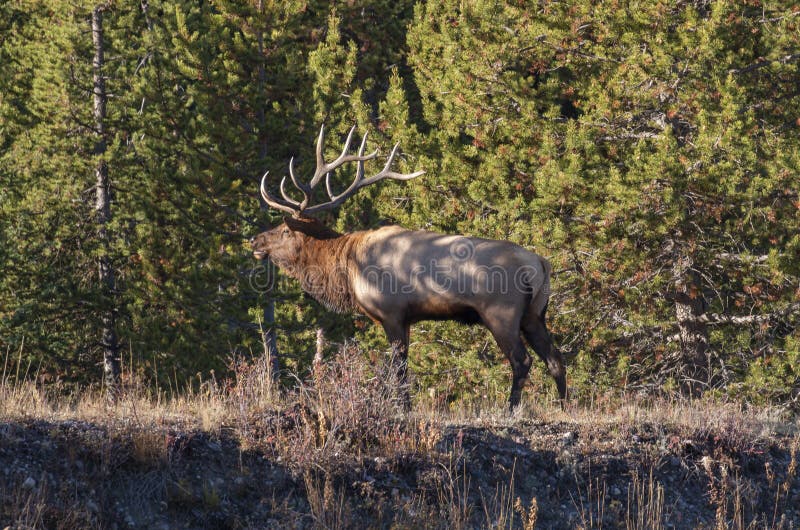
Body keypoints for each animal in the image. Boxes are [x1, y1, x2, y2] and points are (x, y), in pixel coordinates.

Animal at [249, 125, 566, 410]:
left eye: (285, 231)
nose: (255, 240)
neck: (348, 269)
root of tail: (540, 263)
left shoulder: (392, 312)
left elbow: (398, 368)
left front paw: (402, 407)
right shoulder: (407, 318)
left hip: (502, 312)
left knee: (522, 360)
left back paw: (510, 408)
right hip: (534, 313)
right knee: (555, 358)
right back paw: (564, 406)